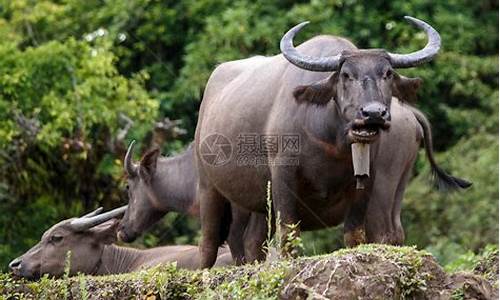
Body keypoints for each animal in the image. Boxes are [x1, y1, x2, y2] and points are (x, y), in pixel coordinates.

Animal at [194, 16, 468, 268]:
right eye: (346, 75)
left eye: (388, 74)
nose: (374, 114)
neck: (330, 141)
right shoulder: (282, 176)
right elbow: (289, 234)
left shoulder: (367, 181)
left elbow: (354, 234)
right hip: (209, 186)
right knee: (211, 242)